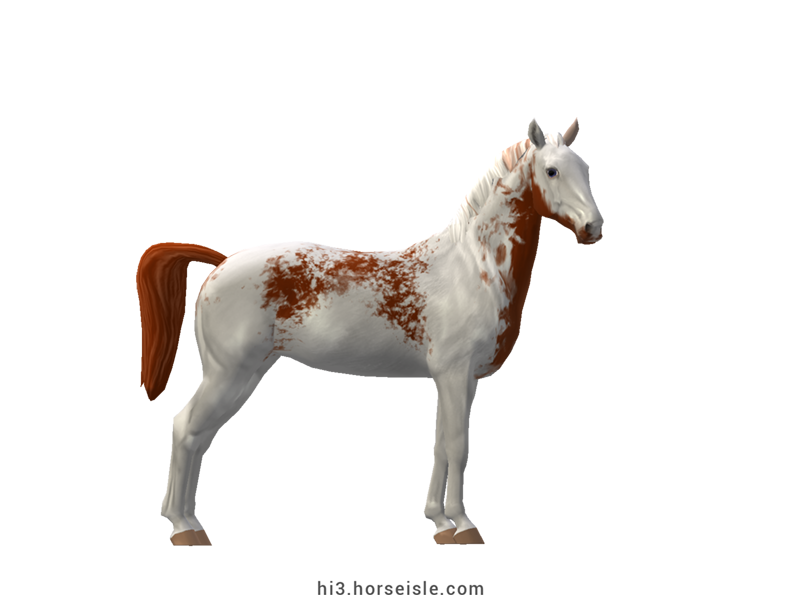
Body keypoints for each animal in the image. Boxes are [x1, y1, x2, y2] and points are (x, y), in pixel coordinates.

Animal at [160, 117, 604, 538]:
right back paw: (182, 524)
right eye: (551, 171)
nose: (593, 226)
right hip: (229, 375)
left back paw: (175, 516)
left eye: (584, 167)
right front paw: (462, 521)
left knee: (190, 433)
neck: (474, 268)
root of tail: (216, 268)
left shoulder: (452, 378)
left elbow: (441, 446)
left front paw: (437, 519)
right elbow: (457, 446)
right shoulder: (454, 372)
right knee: (185, 430)